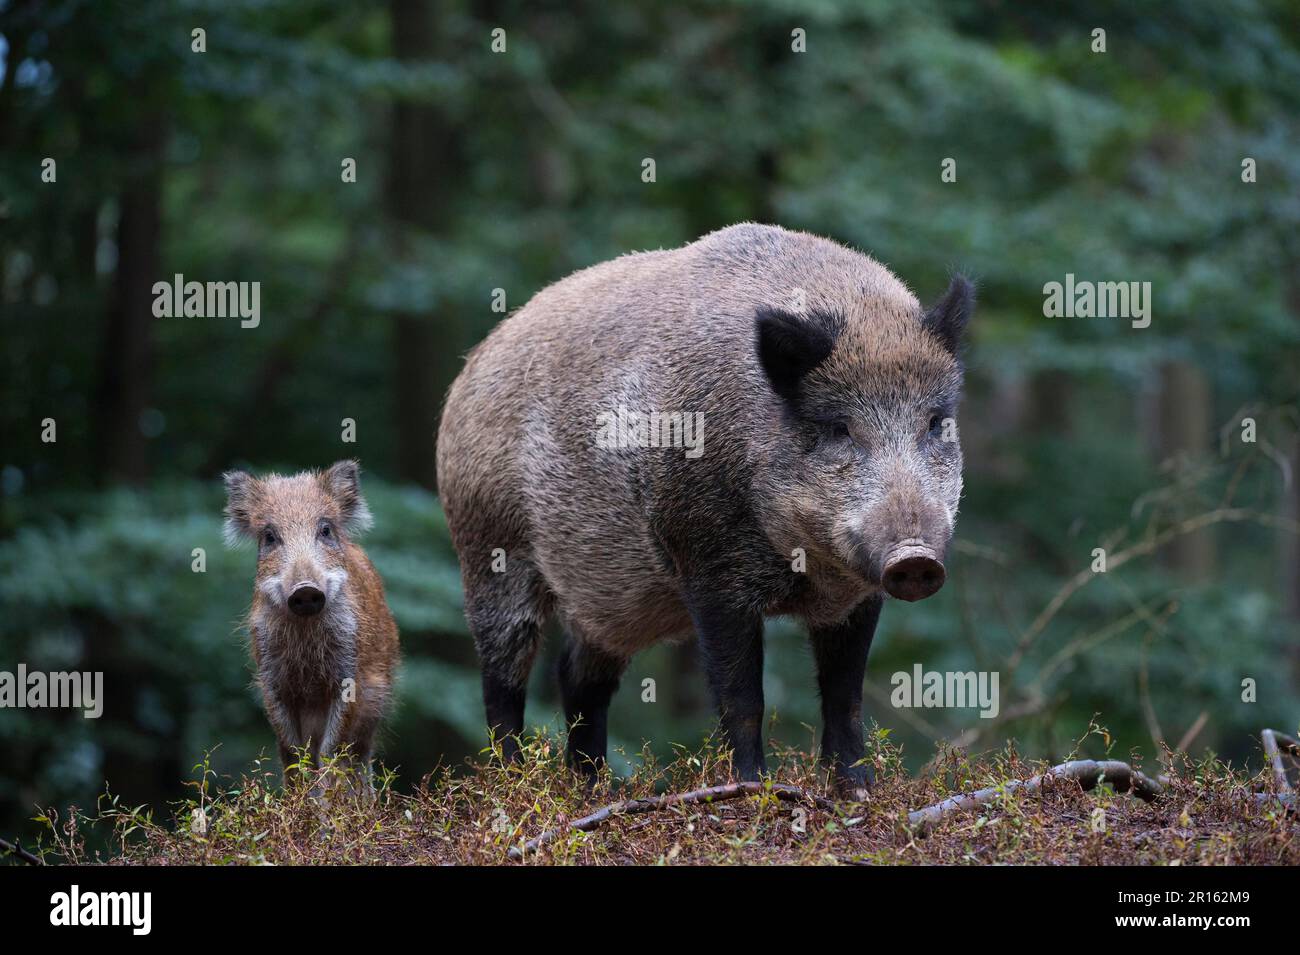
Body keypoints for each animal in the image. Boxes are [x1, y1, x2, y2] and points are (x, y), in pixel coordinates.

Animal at [223, 460, 400, 793]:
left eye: (325, 529)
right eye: (269, 536)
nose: (305, 590)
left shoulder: (349, 676)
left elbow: (330, 752)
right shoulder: (273, 683)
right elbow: (293, 754)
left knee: (359, 758)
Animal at [436, 223, 972, 794]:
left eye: (935, 422)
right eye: (839, 428)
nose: (914, 557)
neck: (803, 567)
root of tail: (469, 371)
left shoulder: (857, 594)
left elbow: (844, 695)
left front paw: (857, 789)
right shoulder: (707, 567)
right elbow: (742, 698)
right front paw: (752, 789)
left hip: (604, 594)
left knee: (578, 676)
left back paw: (593, 790)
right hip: (488, 548)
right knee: (503, 675)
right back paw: (513, 786)